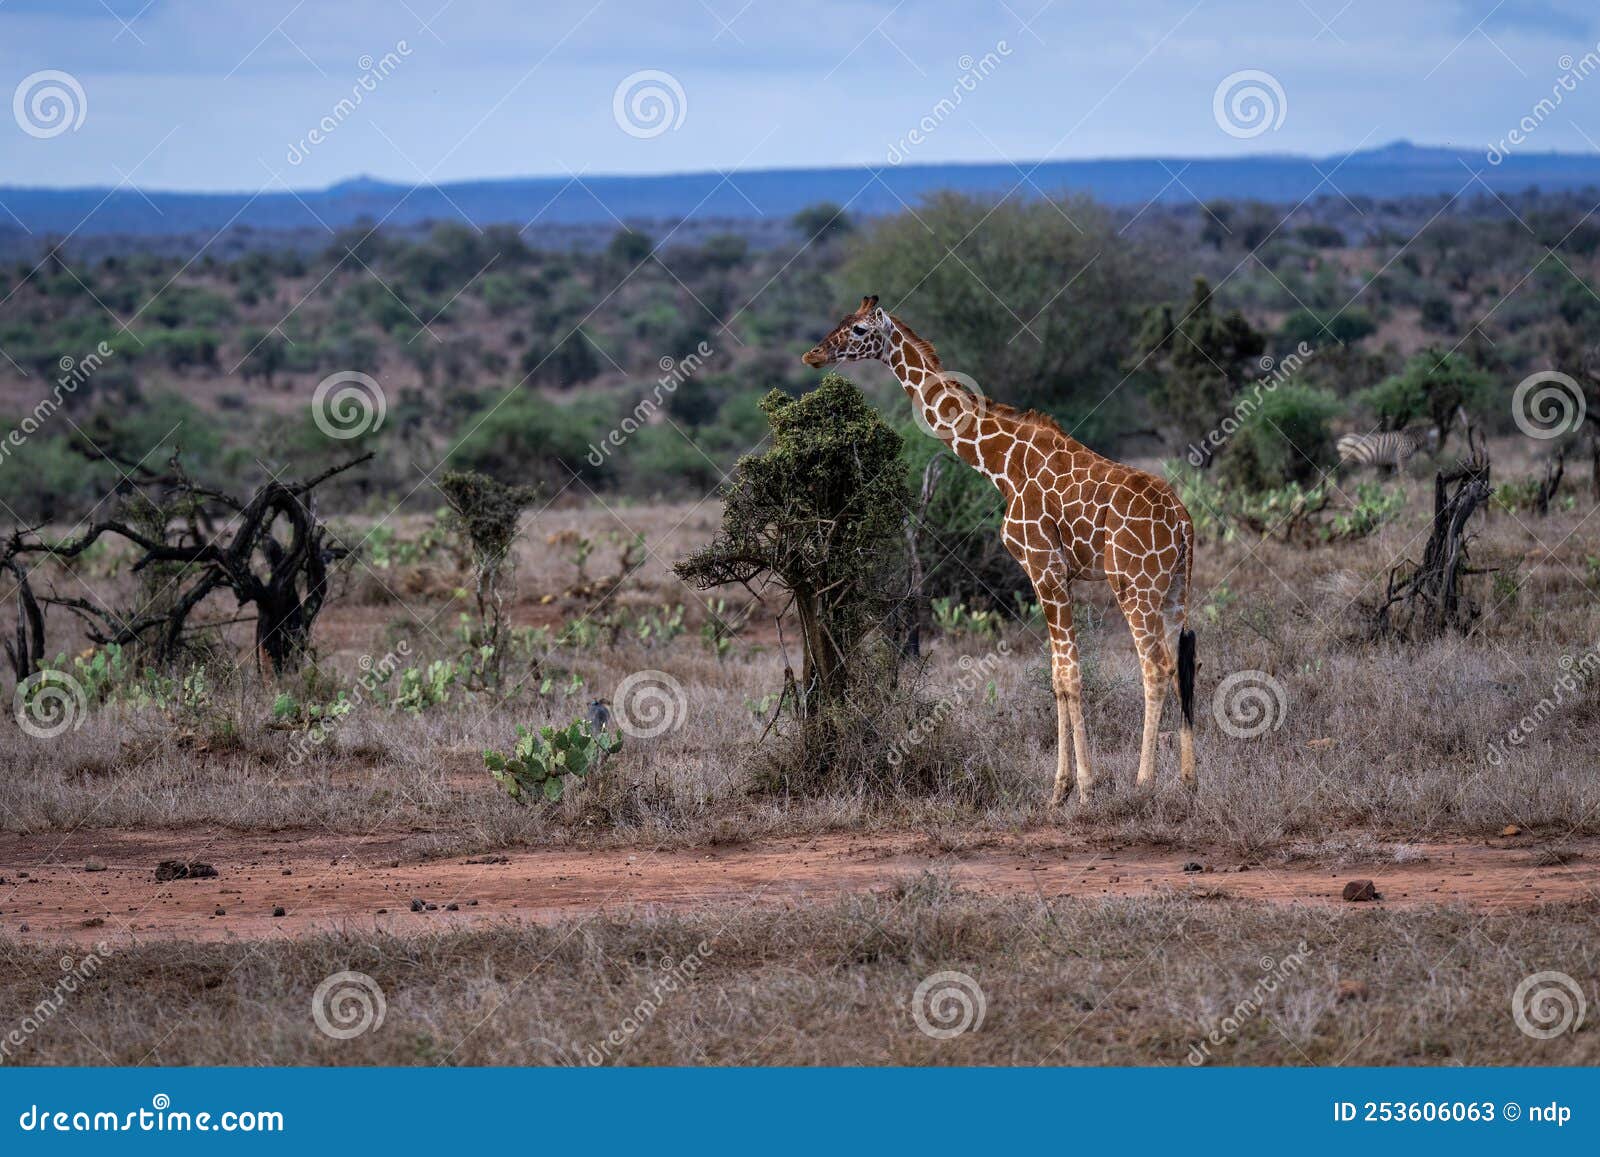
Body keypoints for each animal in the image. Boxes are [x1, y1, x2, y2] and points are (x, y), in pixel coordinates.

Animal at [803, 296, 1197, 804]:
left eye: (857, 330)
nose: (813, 355)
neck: (1001, 465)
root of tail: (1183, 521)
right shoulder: (1052, 574)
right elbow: (1056, 677)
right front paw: (1059, 791)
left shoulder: (1045, 567)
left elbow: (1069, 675)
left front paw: (1085, 789)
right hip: (1174, 589)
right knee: (1182, 663)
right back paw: (1187, 780)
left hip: (1135, 584)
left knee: (1156, 667)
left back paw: (1143, 782)